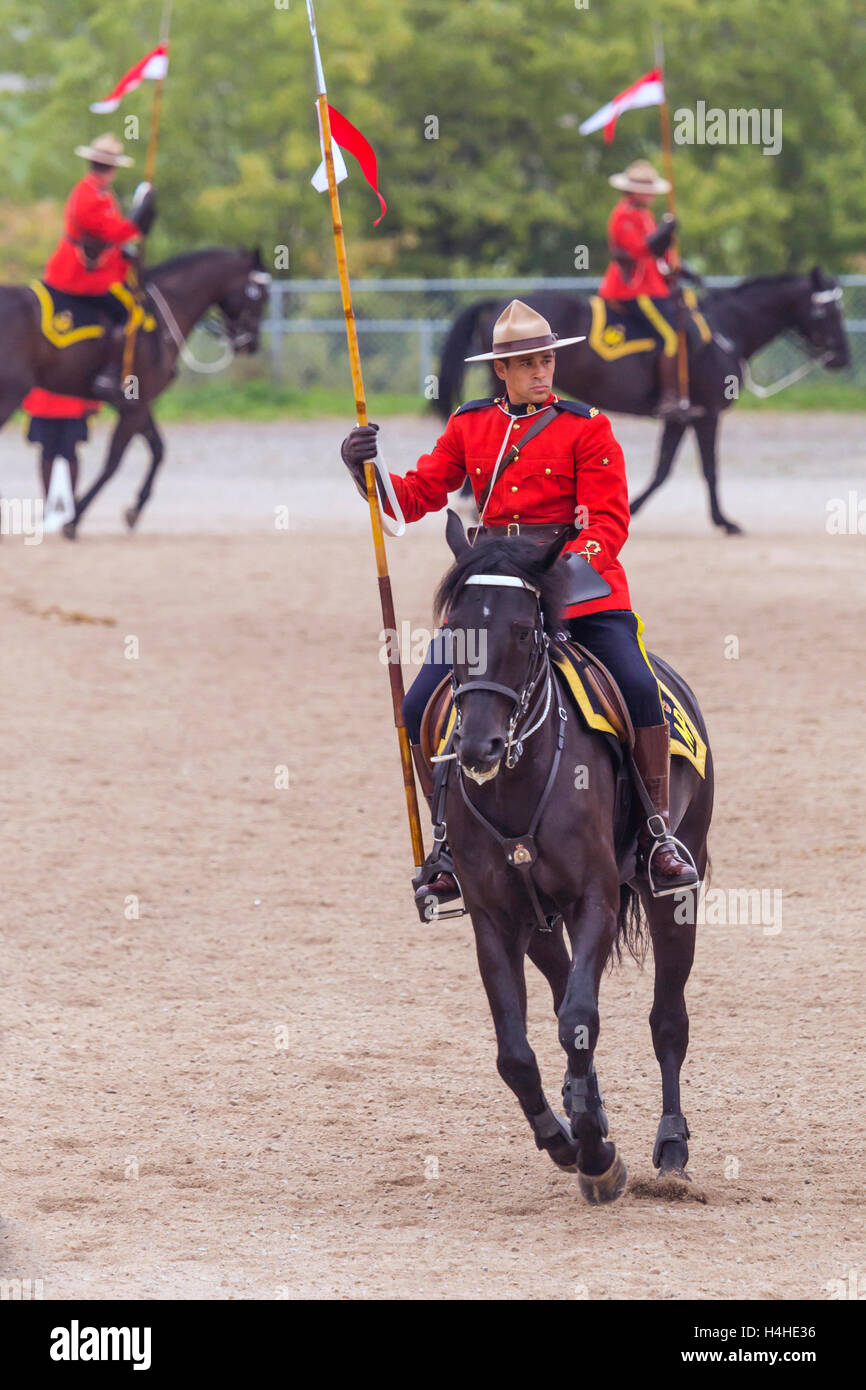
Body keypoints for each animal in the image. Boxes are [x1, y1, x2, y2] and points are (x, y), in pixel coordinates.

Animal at [0, 247, 271, 535]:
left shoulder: (137, 404)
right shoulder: (134, 406)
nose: (251, 343)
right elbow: (114, 461)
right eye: (258, 294)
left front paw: (136, 507)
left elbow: (158, 449)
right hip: (11, 394)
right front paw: (74, 518)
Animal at [427, 511, 714, 1201]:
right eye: (451, 630)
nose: (476, 746)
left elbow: (581, 1019)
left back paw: (671, 1149)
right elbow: (518, 1051)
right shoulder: (495, 917)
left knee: (668, 1020)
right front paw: (569, 1139)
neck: (519, 775)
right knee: (561, 994)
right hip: (538, 917)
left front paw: (598, 1156)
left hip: (678, 892)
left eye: (523, 630)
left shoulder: (595, 900)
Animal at [437, 268, 850, 534]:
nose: (843, 358)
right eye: (825, 309)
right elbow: (706, 469)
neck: (726, 328)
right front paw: (724, 521)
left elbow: (664, 468)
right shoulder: (706, 414)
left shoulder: (681, 417)